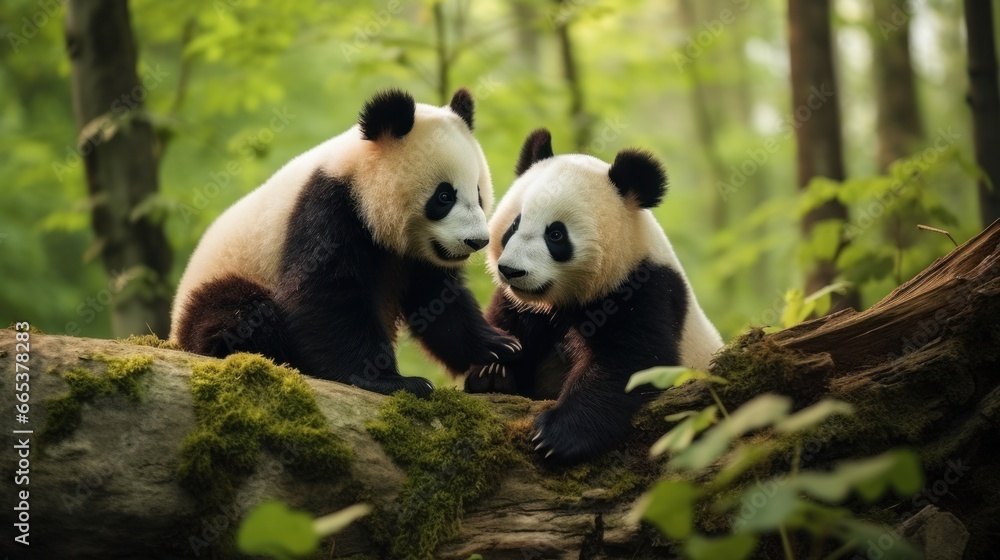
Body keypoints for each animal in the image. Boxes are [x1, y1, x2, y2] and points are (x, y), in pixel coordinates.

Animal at [170, 88, 520, 397]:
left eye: (479, 193)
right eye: (444, 196)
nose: (477, 241)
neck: (357, 175)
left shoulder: (417, 255)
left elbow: (437, 299)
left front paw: (499, 347)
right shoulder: (328, 209)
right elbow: (326, 294)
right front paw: (391, 380)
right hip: (219, 284)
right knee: (240, 315)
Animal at [465, 128, 724, 464]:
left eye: (556, 234)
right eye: (514, 225)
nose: (511, 271)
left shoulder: (644, 290)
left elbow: (631, 363)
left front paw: (557, 435)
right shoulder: (520, 305)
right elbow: (507, 329)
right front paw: (491, 374)